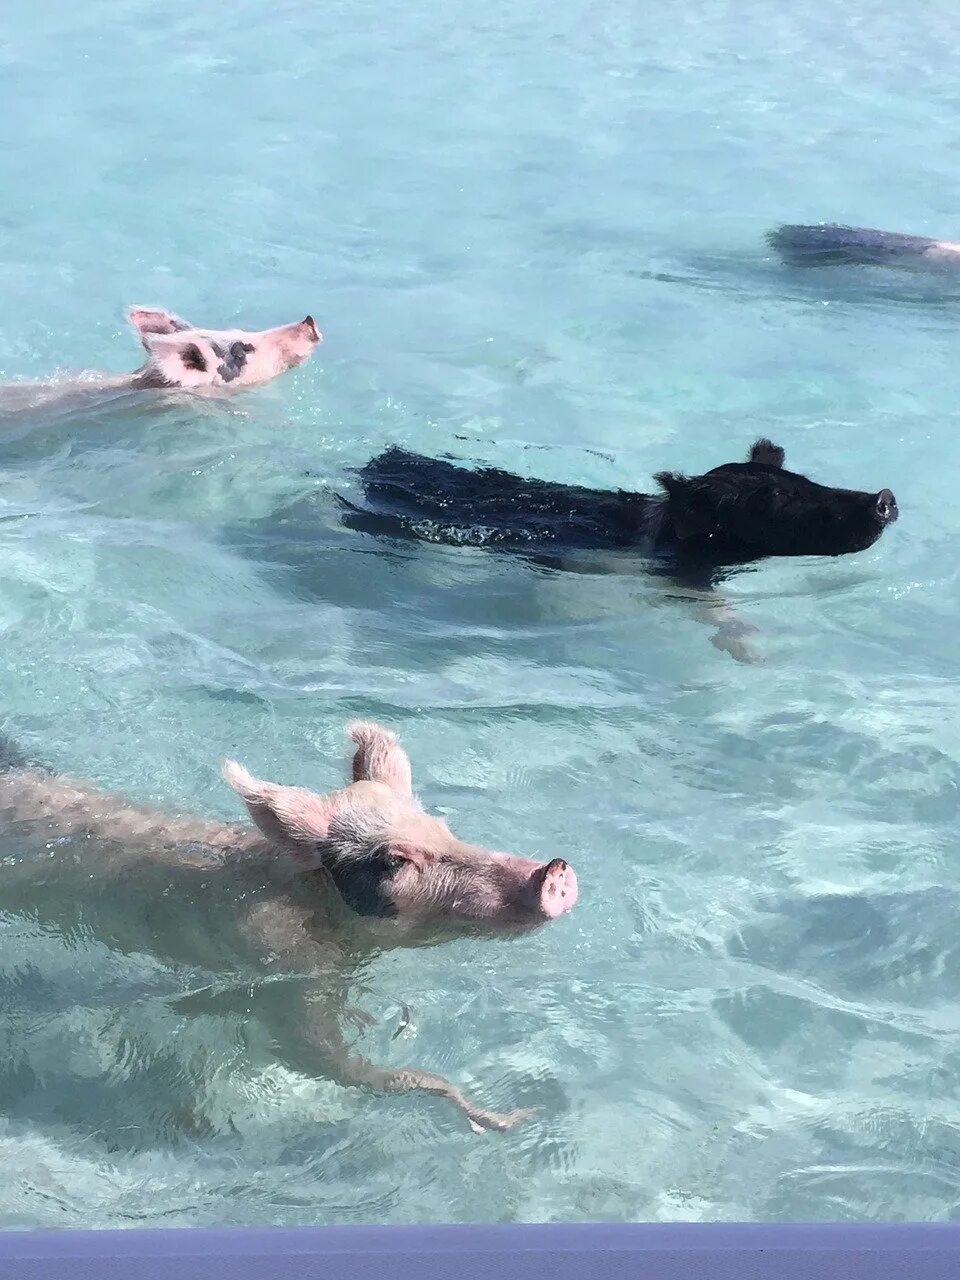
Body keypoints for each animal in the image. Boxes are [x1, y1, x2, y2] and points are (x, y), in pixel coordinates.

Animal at [0, 720, 576, 1133]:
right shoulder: (282, 972)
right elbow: (326, 1062)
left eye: (443, 827)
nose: (554, 872)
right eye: (394, 861)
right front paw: (508, 1118)